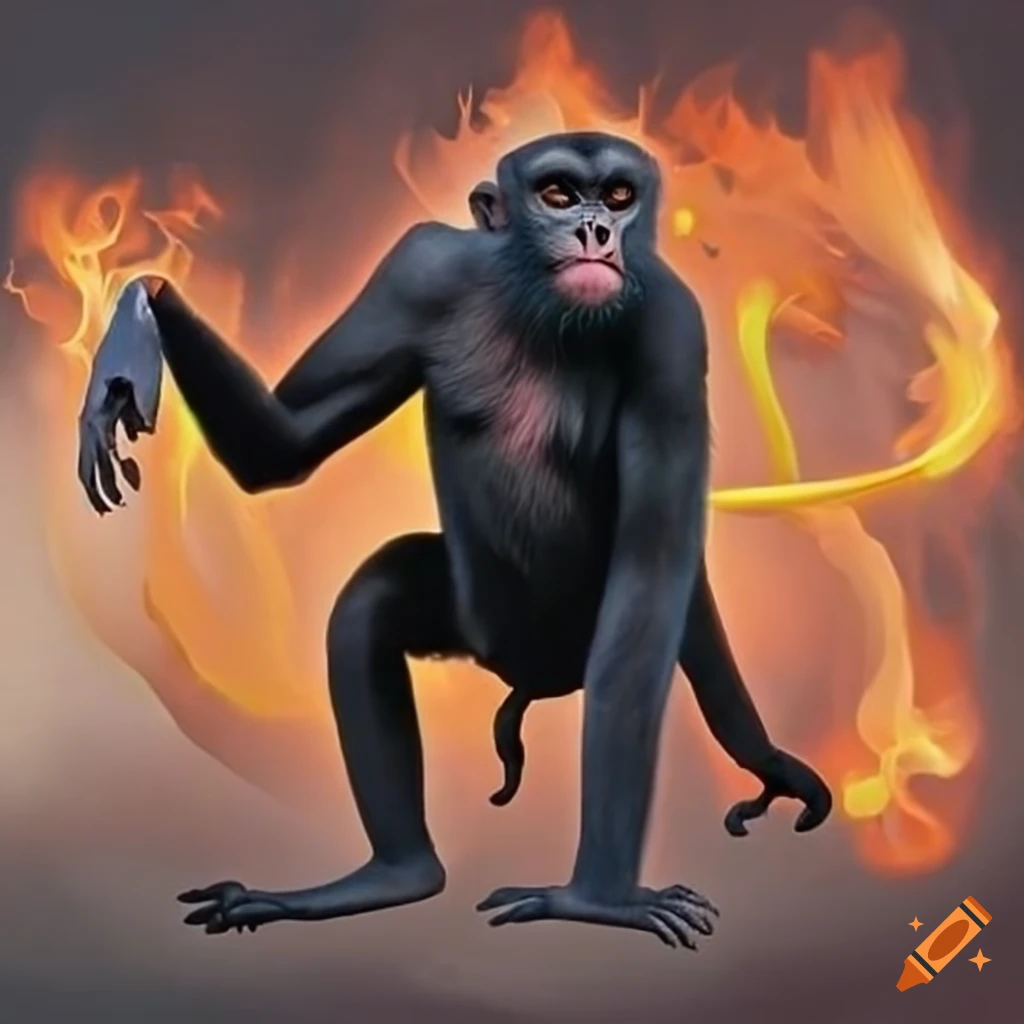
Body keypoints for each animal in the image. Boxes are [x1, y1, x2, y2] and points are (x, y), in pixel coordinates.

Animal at [78, 132, 832, 948]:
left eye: (619, 195)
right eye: (559, 194)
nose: (596, 229)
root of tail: (533, 679)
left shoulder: (671, 324)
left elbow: (651, 581)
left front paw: (596, 899)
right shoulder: (417, 272)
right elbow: (284, 446)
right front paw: (137, 320)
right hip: (474, 626)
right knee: (371, 602)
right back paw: (396, 874)